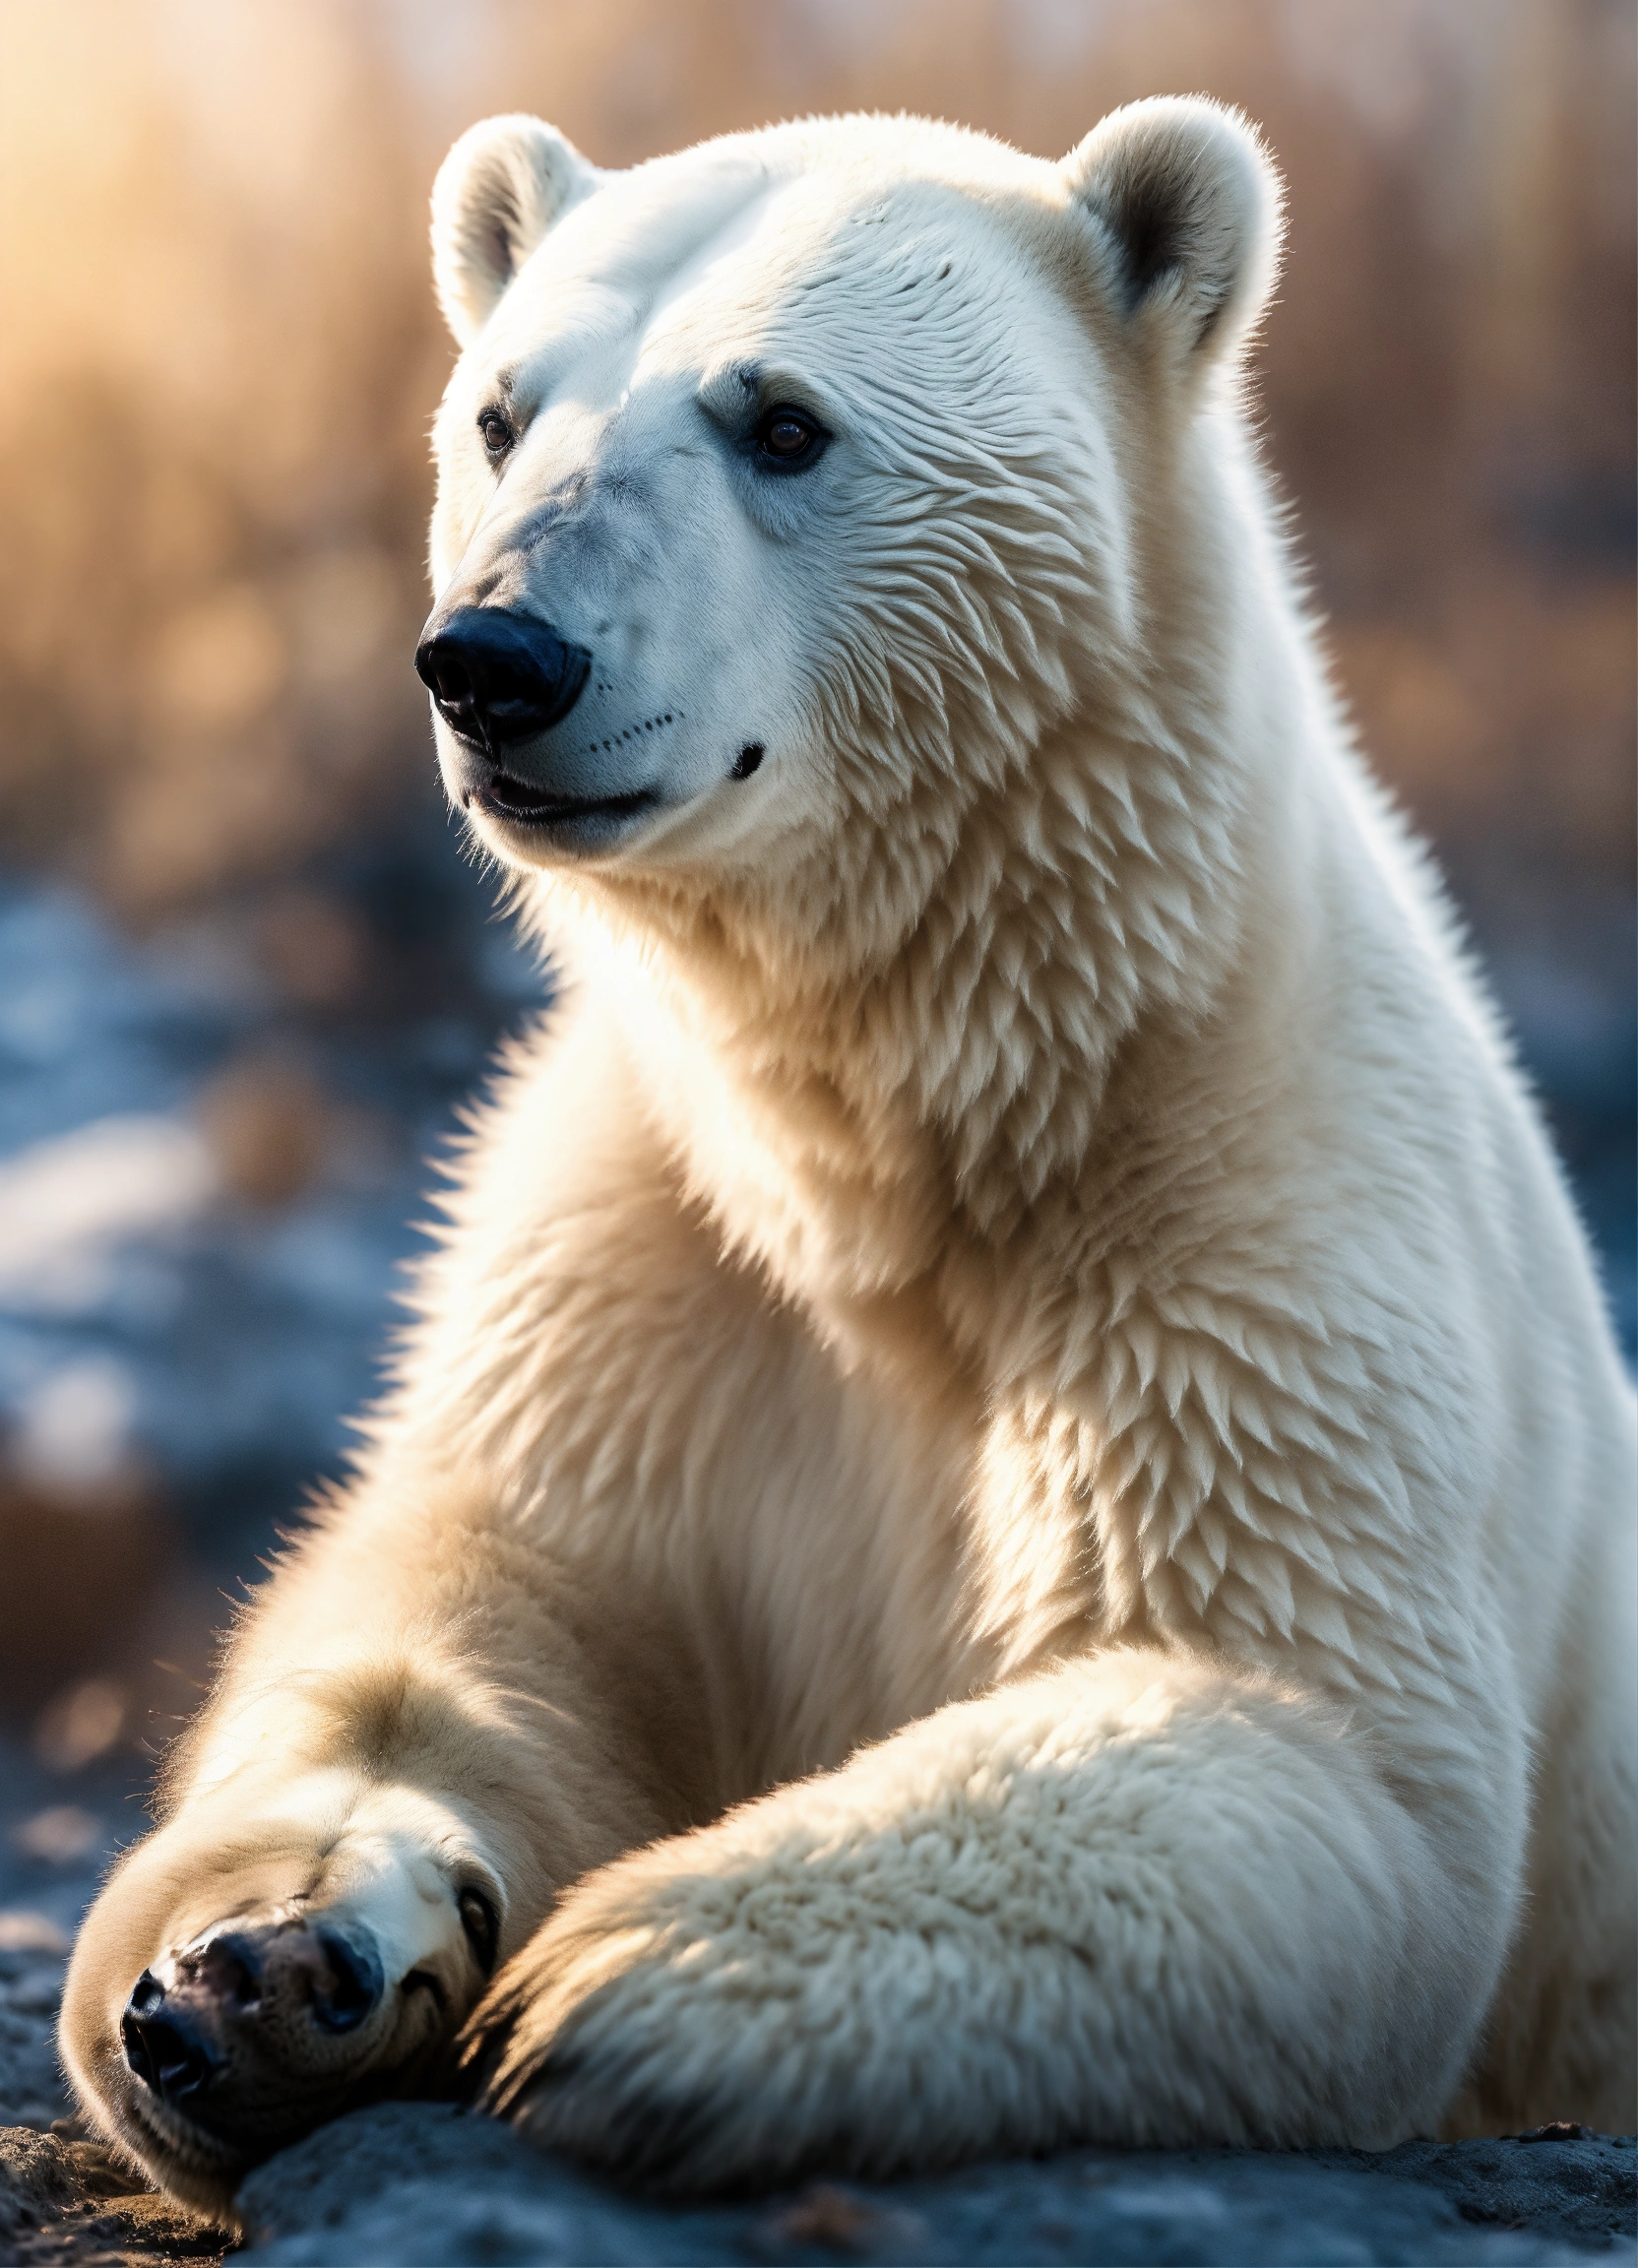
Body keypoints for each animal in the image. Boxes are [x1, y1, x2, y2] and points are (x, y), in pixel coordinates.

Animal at [61, 98, 1636, 2218]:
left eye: (783, 421)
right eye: (498, 414)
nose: (498, 658)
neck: (907, 1124)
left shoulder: (1255, 1222)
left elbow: (1303, 1728)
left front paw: (640, 1969)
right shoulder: (633, 1263)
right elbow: (465, 1615)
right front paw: (257, 1967)